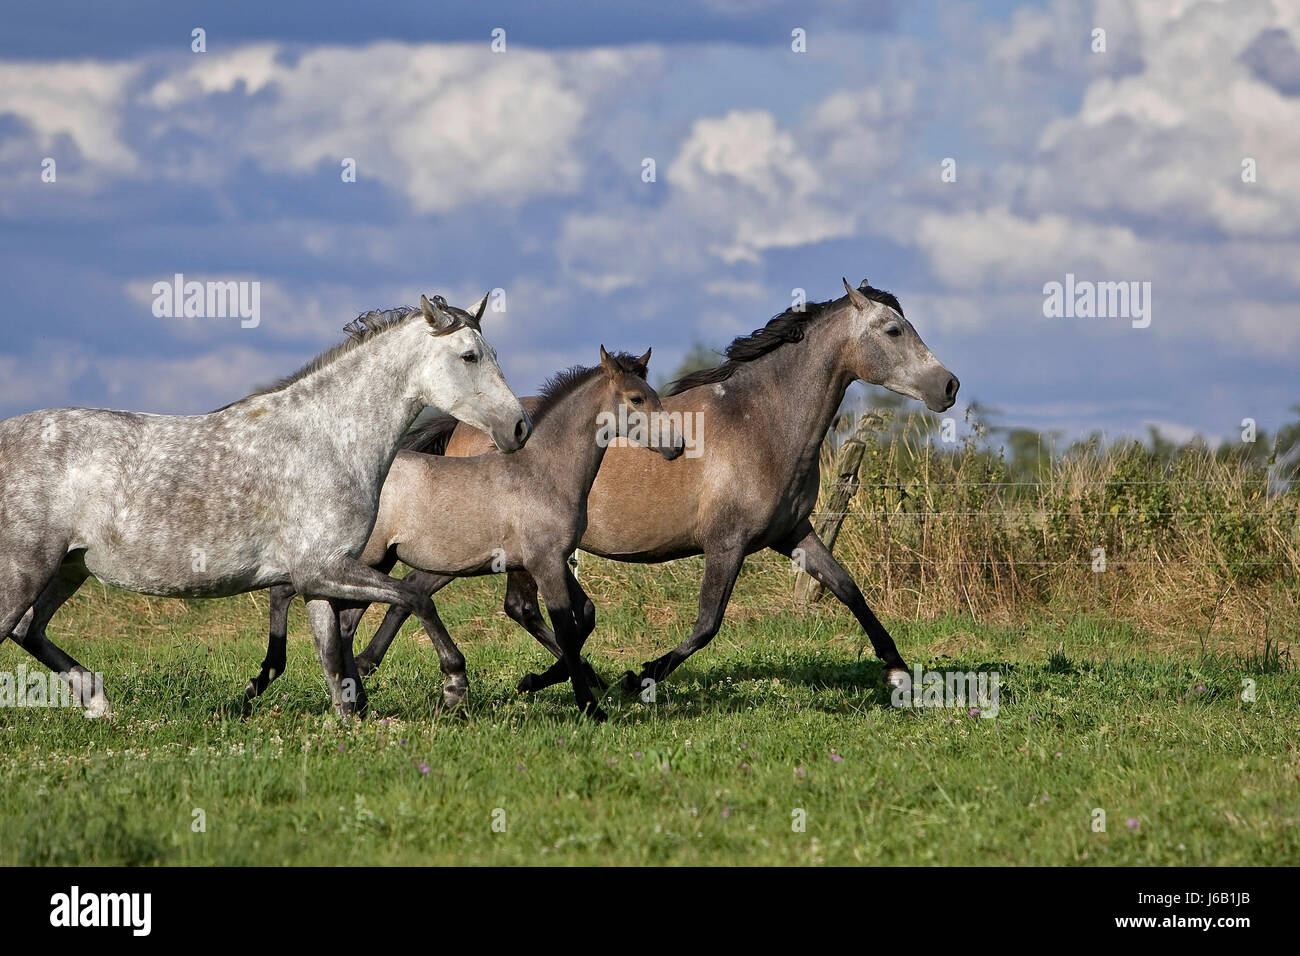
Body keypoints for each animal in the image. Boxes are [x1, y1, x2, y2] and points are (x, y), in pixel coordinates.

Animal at [0, 293, 529, 718]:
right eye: (469, 355)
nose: (520, 427)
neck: (327, 439)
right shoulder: (324, 568)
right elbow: (414, 598)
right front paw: (455, 685)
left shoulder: (318, 578)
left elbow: (334, 661)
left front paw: (350, 721)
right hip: (25, 572)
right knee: (15, 628)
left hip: (68, 569)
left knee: (29, 631)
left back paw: (97, 701)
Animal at [252, 347, 682, 720]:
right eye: (636, 398)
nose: (677, 446)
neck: (543, 472)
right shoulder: (543, 563)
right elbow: (565, 627)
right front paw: (589, 707)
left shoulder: (555, 560)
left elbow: (585, 617)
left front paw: (544, 681)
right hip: (357, 559)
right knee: (292, 593)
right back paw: (270, 680)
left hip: (375, 562)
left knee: (339, 619)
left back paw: (347, 696)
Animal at [351, 279, 959, 699]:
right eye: (893, 331)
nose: (949, 386)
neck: (762, 421)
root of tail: (460, 425)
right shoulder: (727, 543)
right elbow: (707, 623)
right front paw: (640, 675)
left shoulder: (793, 534)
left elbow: (850, 590)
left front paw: (898, 672)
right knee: (469, 597)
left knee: (440, 594)